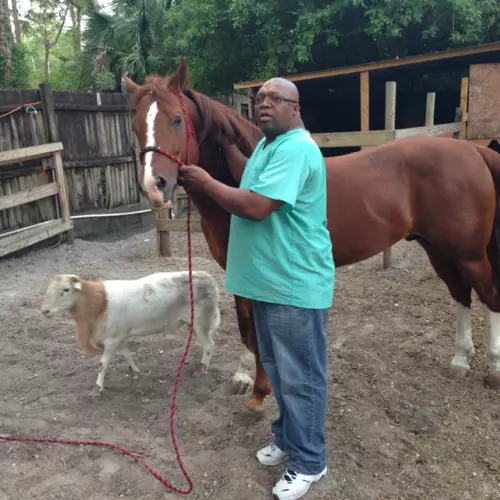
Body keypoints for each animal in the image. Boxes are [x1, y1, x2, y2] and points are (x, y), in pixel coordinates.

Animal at [123, 59, 500, 418]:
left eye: (175, 119)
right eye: (136, 125)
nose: (154, 186)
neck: (237, 182)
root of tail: (473, 152)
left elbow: (259, 333)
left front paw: (260, 393)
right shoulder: (237, 272)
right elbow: (245, 325)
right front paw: (243, 377)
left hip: (468, 253)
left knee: (489, 295)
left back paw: (493, 368)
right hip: (439, 250)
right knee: (460, 294)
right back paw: (459, 361)